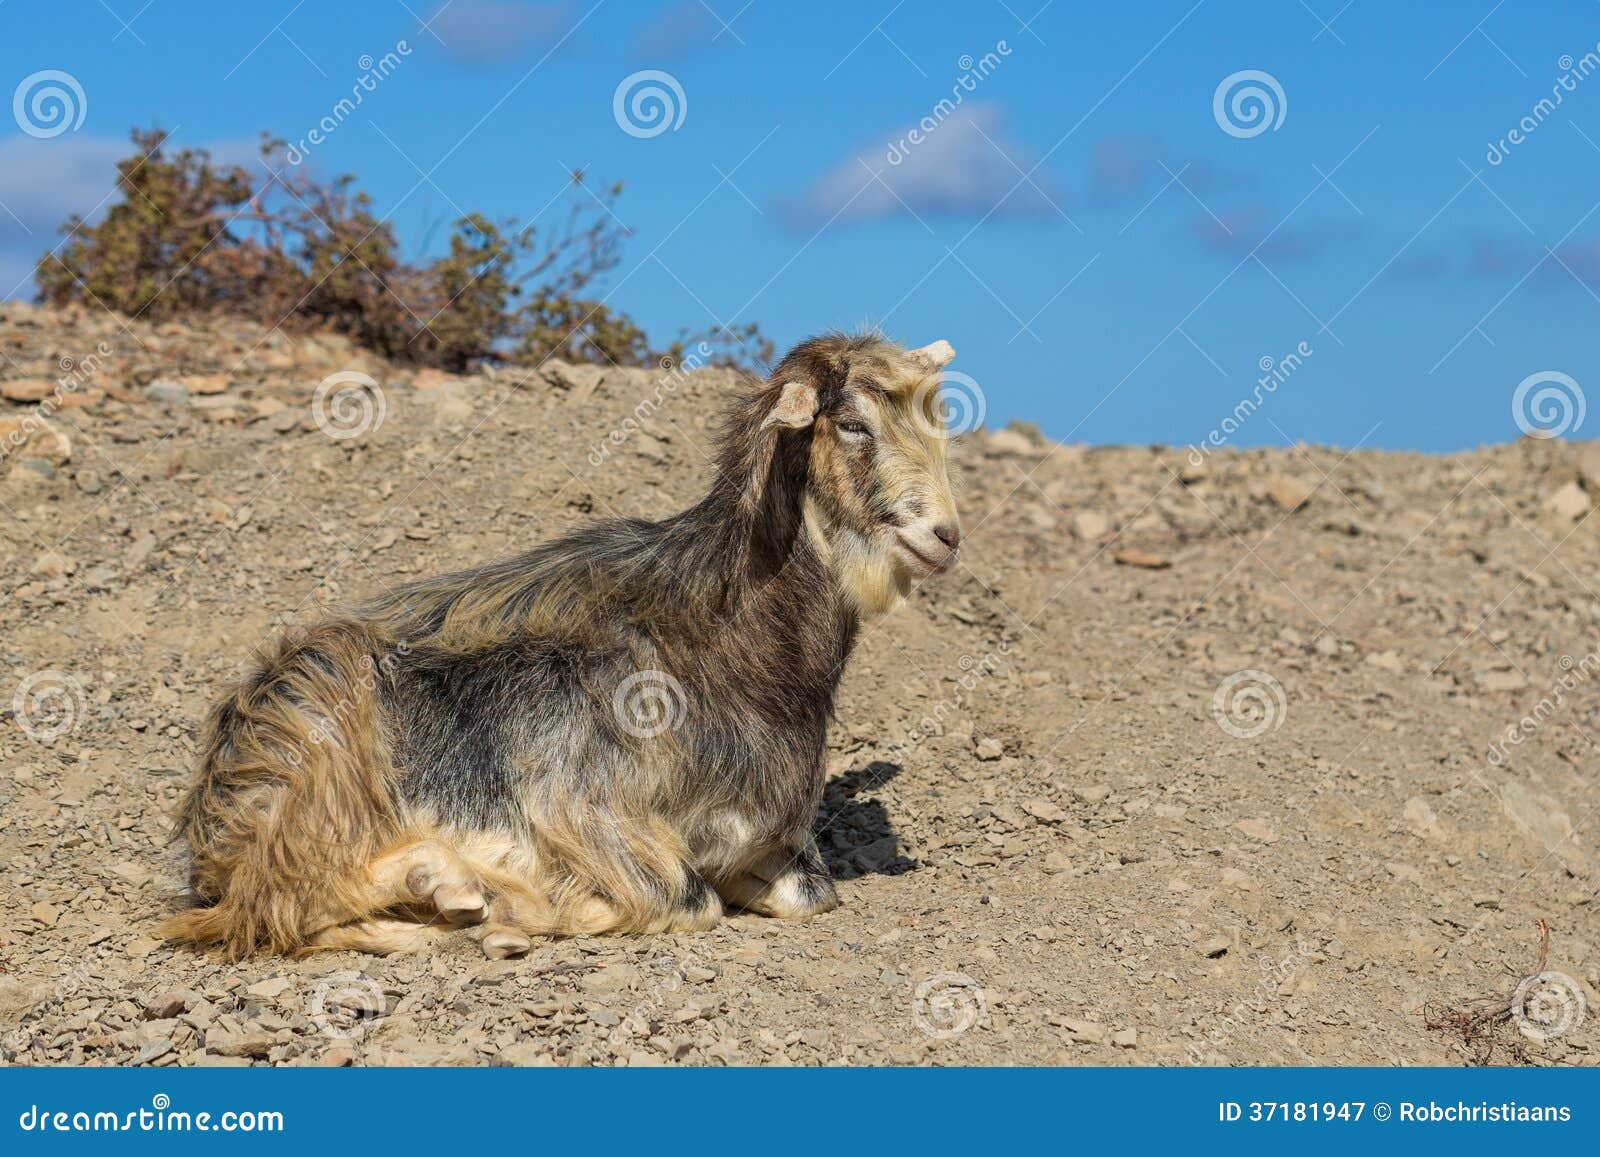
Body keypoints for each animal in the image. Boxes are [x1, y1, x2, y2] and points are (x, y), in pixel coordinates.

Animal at [162, 334, 963, 958]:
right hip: (329, 736)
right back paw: (461, 896)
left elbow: (809, 895)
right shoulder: (582, 807)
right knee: (272, 903)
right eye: (851, 423)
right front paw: (540, 903)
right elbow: (687, 899)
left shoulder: (769, 847)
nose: (946, 536)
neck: (729, 637)